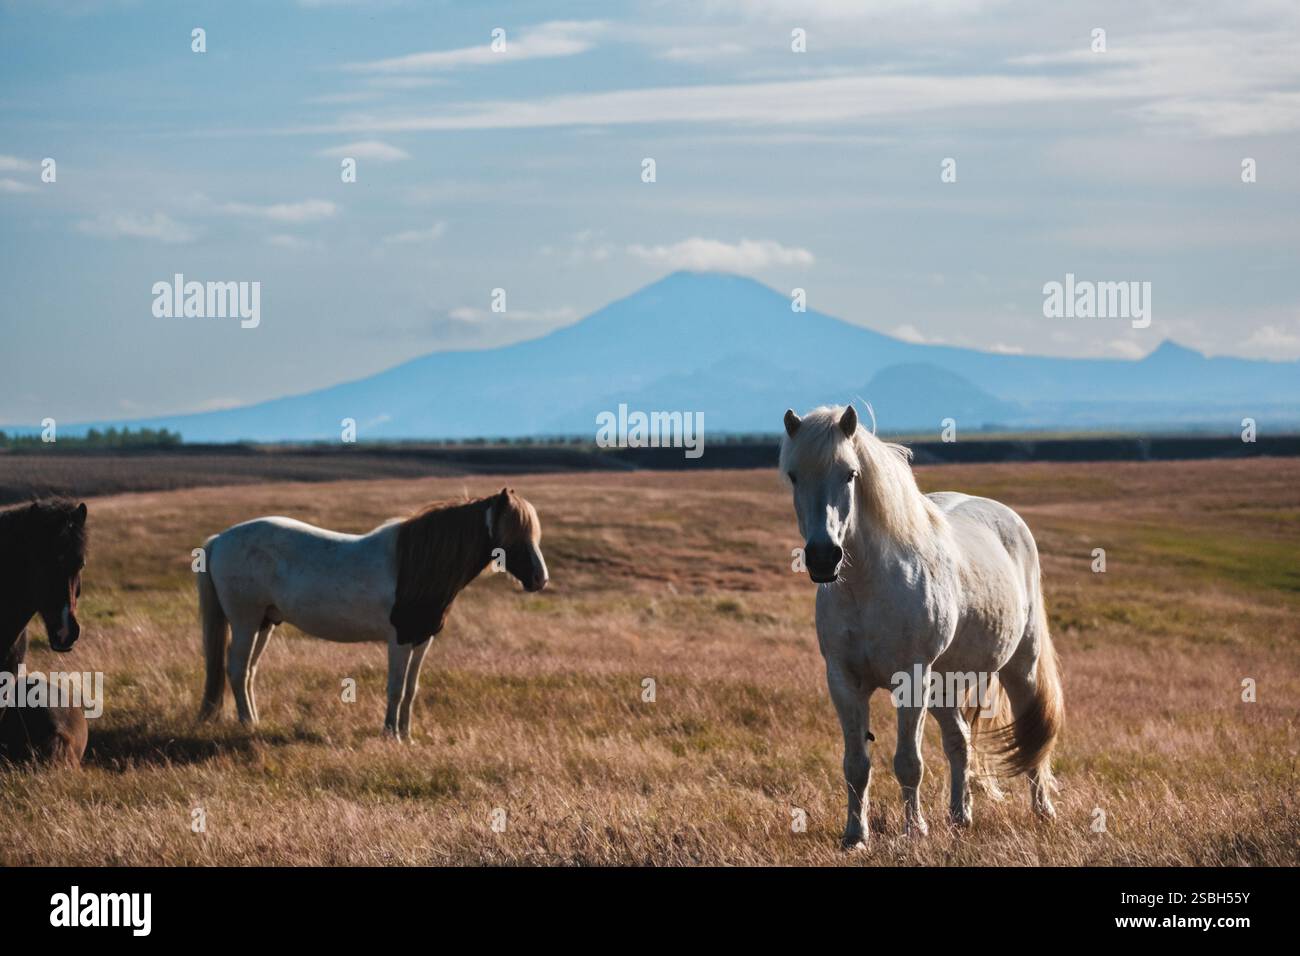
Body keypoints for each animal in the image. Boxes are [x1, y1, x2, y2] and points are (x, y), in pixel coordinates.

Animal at [197, 487, 548, 740]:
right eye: (512, 536)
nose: (539, 579)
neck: (417, 565)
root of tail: (219, 540)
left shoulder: (423, 640)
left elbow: (411, 690)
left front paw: (407, 735)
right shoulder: (400, 640)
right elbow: (395, 689)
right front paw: (390, 734)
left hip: (265, 622)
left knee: (249, 671)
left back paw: (255, 720)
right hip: (245, 622)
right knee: (237, 669)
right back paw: (247, 724)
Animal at [780, 405, 1063, 846]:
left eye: (850, 473)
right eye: (794, 475)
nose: (823, 556)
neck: (867, 586)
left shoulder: (911, 679)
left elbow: (908, 761)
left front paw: (914, 831)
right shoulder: (844, 682)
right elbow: (855, 764)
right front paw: (855, 836)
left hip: (1020, 668)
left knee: (1031, 735)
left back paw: (1042, 810)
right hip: (945, 682)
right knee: (959, 741)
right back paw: (960, 815)